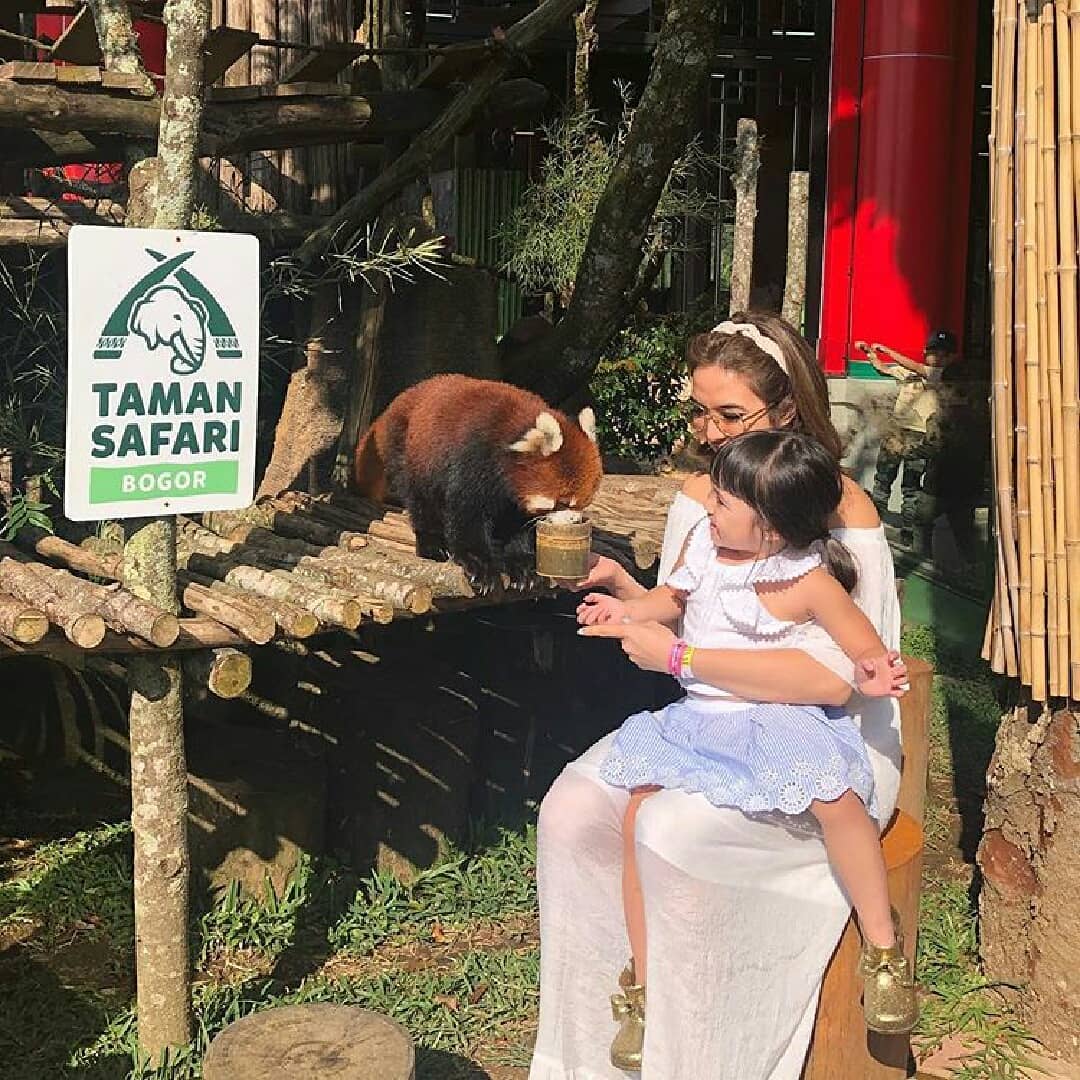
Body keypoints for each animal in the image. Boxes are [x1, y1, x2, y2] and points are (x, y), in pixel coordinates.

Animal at [353, 374, 602, 587]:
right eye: (562, 502)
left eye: (583, 502)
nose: (573, 521)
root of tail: (399, 401)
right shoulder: (473, 457)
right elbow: (467, 515)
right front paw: (479, 566)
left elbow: (516, 524)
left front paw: (524, 566)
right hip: (411, 453)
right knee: (421, 500)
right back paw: (431, 543)